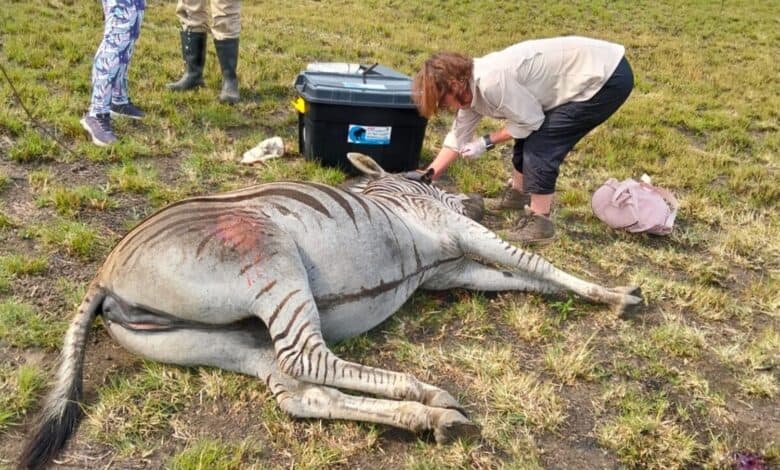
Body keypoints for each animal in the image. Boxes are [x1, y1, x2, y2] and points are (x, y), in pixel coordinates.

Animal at [20, 153, 641, 469]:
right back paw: (425, 394)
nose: (483, 200)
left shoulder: (452, 269)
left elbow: (519, 278)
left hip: (211, 341)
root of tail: (103, 274)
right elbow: (533, 263)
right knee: (308, 357)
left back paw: (425, 418)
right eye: (433, 176)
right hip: (271, 260)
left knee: (296, 390)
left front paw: (596, 295)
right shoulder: (457, 230)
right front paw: (617, 297)